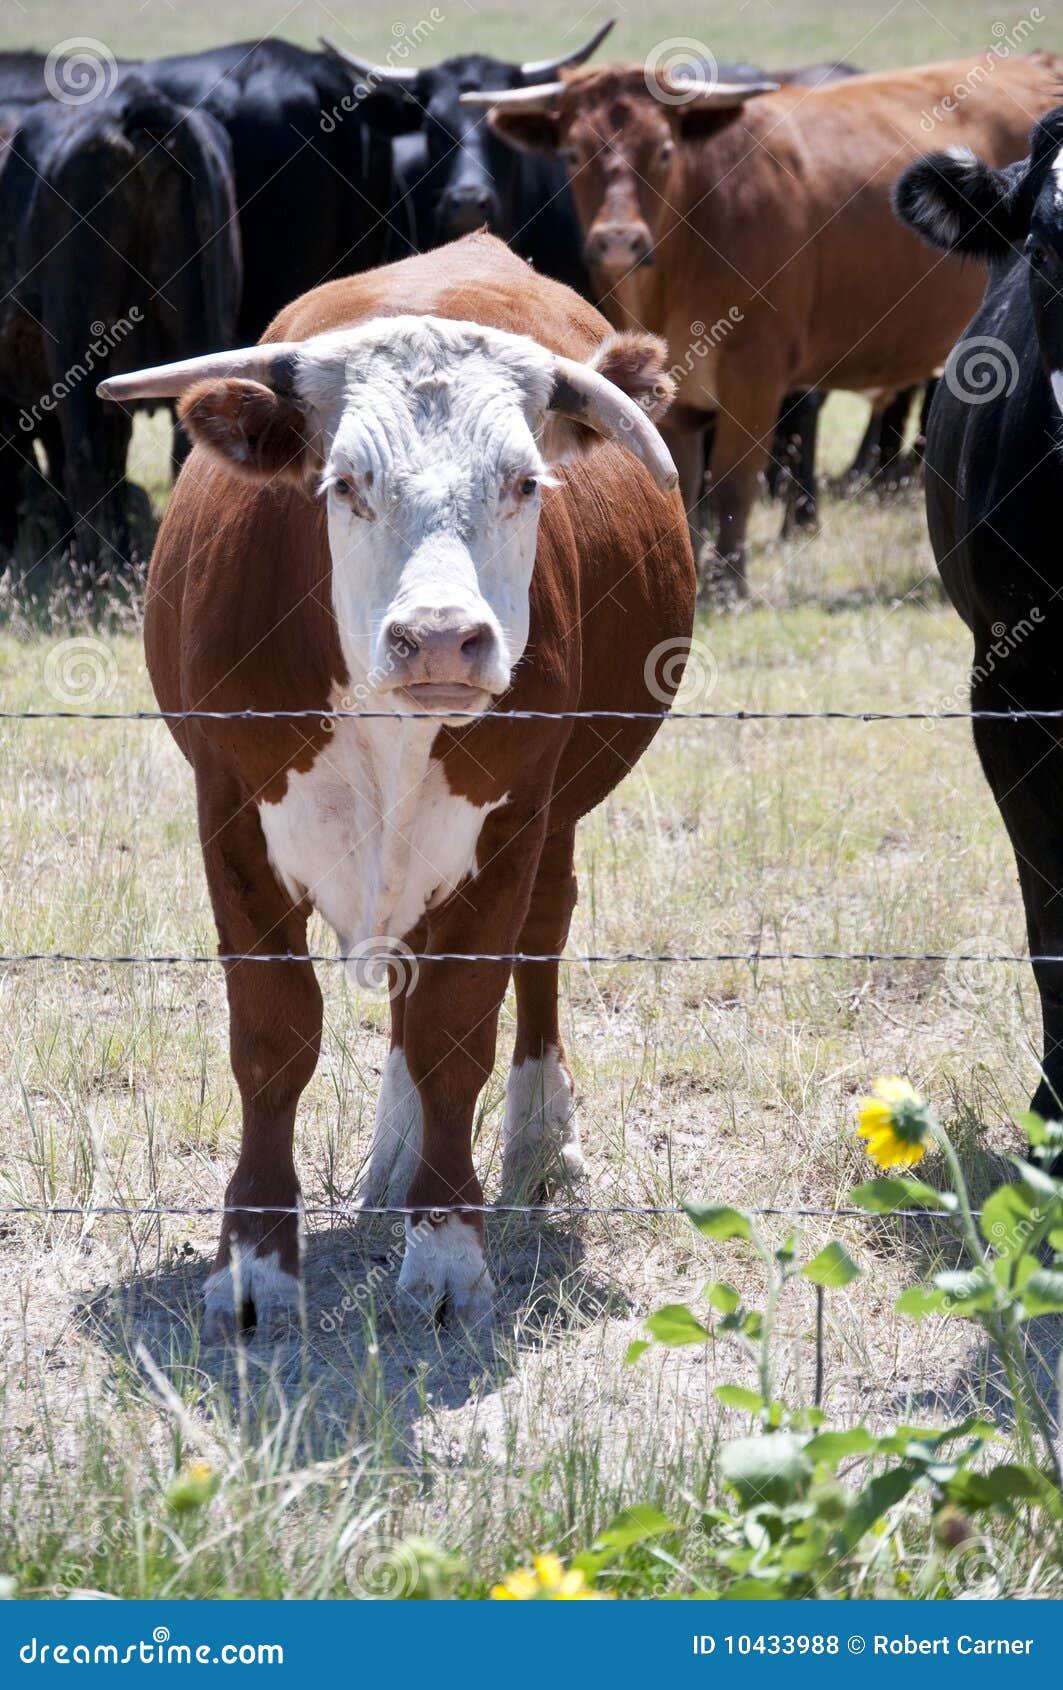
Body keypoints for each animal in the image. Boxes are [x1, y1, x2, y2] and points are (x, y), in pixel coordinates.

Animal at [96, 232, 695, 1336]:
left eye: (523, 483)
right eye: (345, 484)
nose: (443, 638)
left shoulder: (508, 823)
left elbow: (457, 1027)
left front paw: (448, 1252)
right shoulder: (231, 813)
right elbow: (274, 1035)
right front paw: (256, 1265)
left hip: (554, 815)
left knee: (536, 945)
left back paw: (536, 1139)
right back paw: (396, 1156)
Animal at [468, 54, 1063, 598]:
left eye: (663, 150)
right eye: (572, 154)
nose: (618, 240)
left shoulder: (754, 380)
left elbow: (733, 483)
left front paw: (728, 587)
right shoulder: (676, 400)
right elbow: (685, 485)